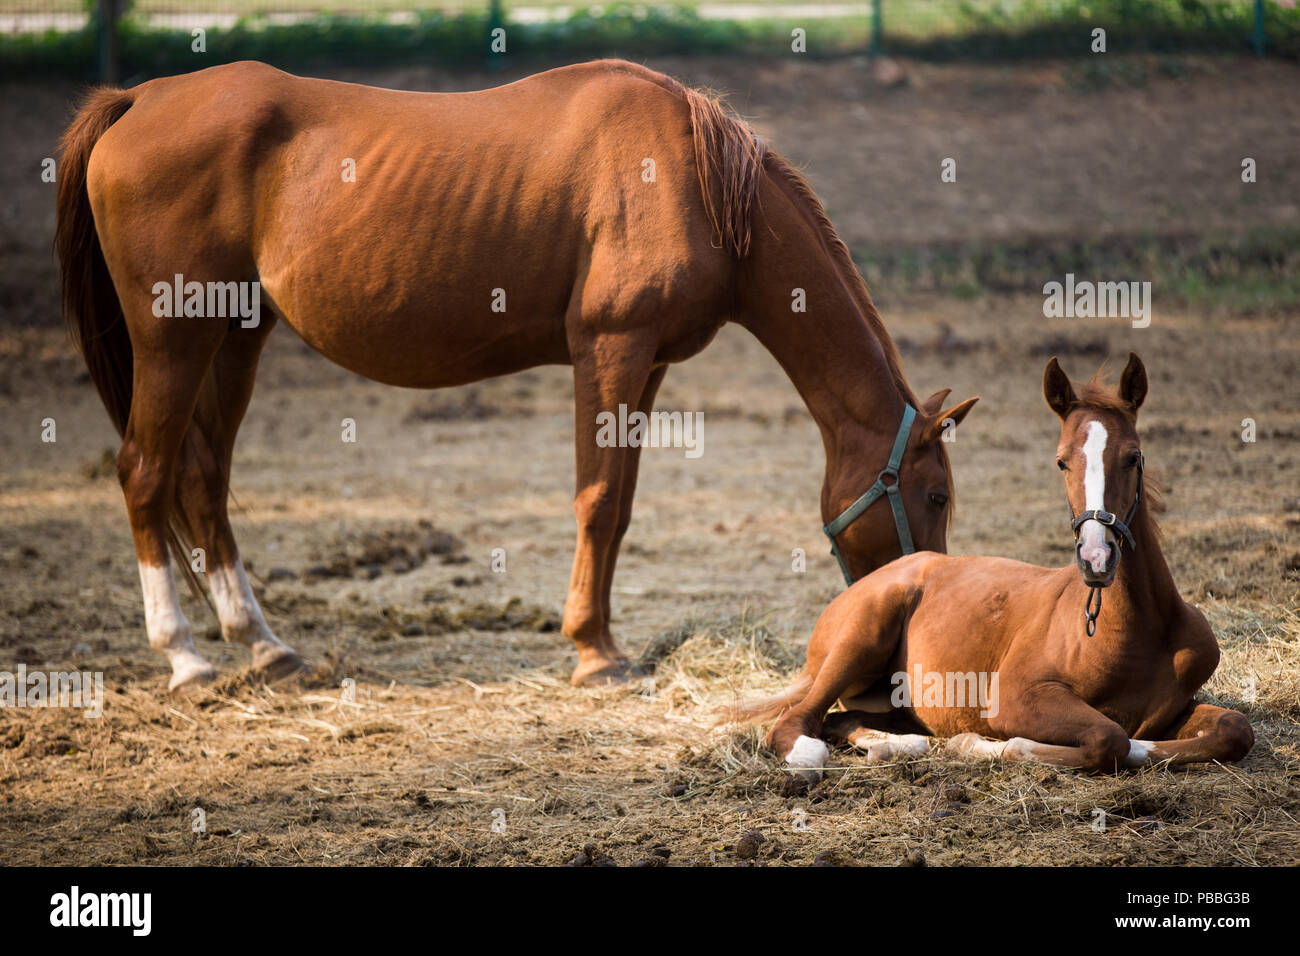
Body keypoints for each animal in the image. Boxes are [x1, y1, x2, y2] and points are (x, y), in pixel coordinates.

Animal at [55, 59, 978, 690]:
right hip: (174, 340)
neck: (691, 177)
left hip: (235, 337)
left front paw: (601, 640)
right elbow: (596, 500)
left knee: (204, 480)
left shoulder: (646, 368)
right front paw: (594, 654)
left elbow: (620, 505)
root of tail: (139, 99)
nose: (922, 615)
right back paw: (183, 657)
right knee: (145, 473)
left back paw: (263, 645)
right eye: (933, 496)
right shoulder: (610, 349)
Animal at [732, 354, 1254, 780]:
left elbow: (1234, 728)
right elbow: (1110, 738)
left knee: (844, 720)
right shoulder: (1019, 697)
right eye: (1061, 462)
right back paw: (811, 756)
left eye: (1134, 457)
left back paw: (900, 745)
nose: (1096, 557)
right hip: (863, 633)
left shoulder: (1179, 705)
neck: (1134, 629)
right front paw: (976, 744)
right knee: (796, 721)